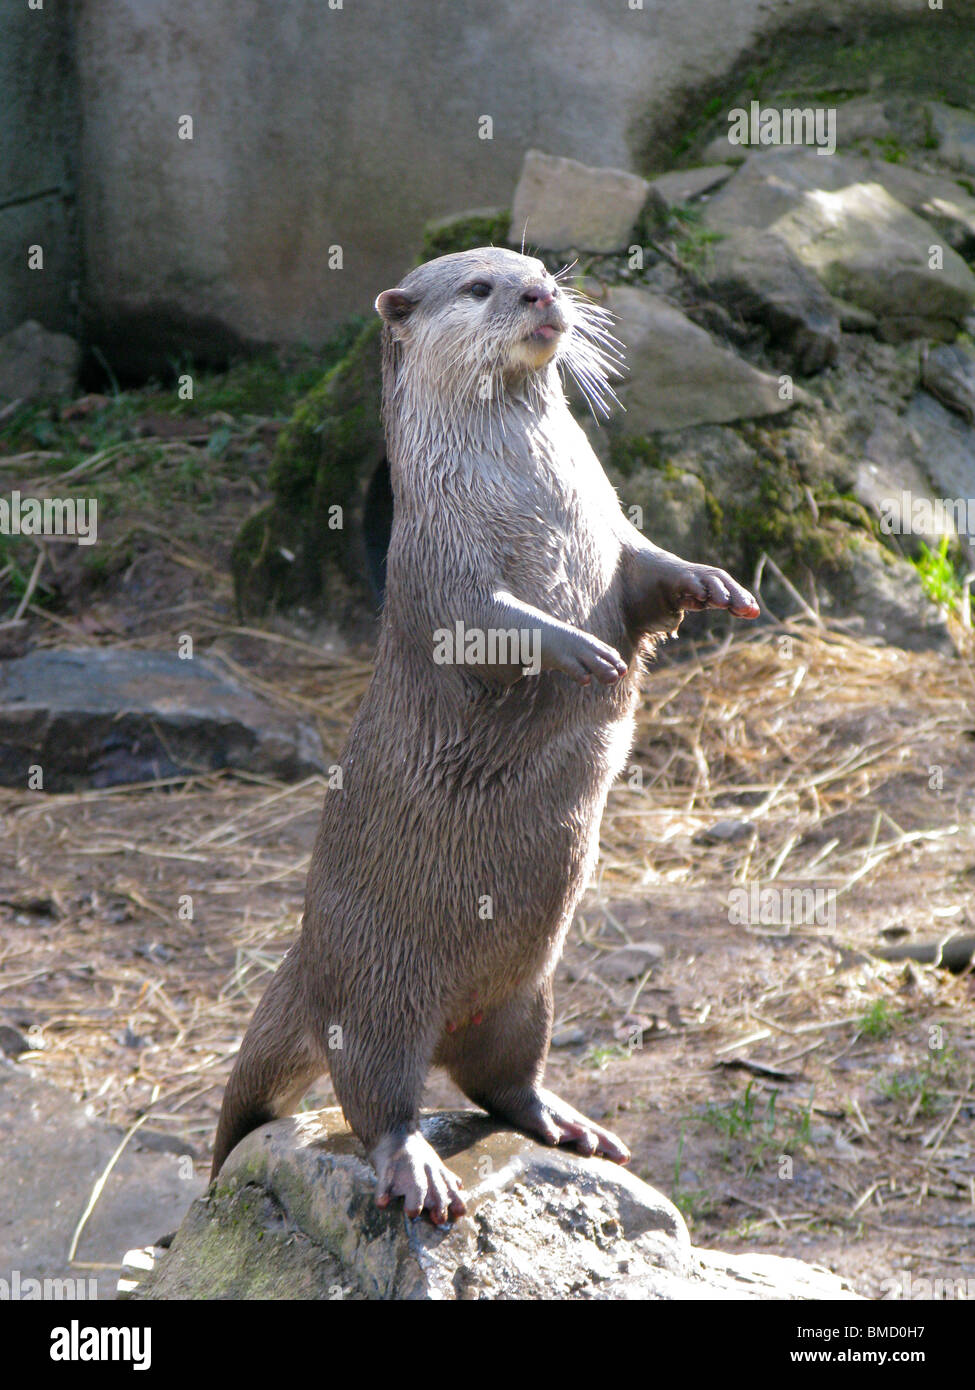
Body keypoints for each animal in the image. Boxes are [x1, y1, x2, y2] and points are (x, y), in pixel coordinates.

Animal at [211, 246, 759, 1223]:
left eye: (540, 269)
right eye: (479, 288)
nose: (540, 294)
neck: (524, 493)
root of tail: (304, 967)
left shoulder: (612, 532)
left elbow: (648, 570)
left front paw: (710, 582)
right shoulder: (440, 565)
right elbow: (491, 626)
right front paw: (579, 649)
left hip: (524, 995)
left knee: (499, 1080)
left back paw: (568, 1124)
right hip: (376, 995)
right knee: (378, 1100)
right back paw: (417, 1172)